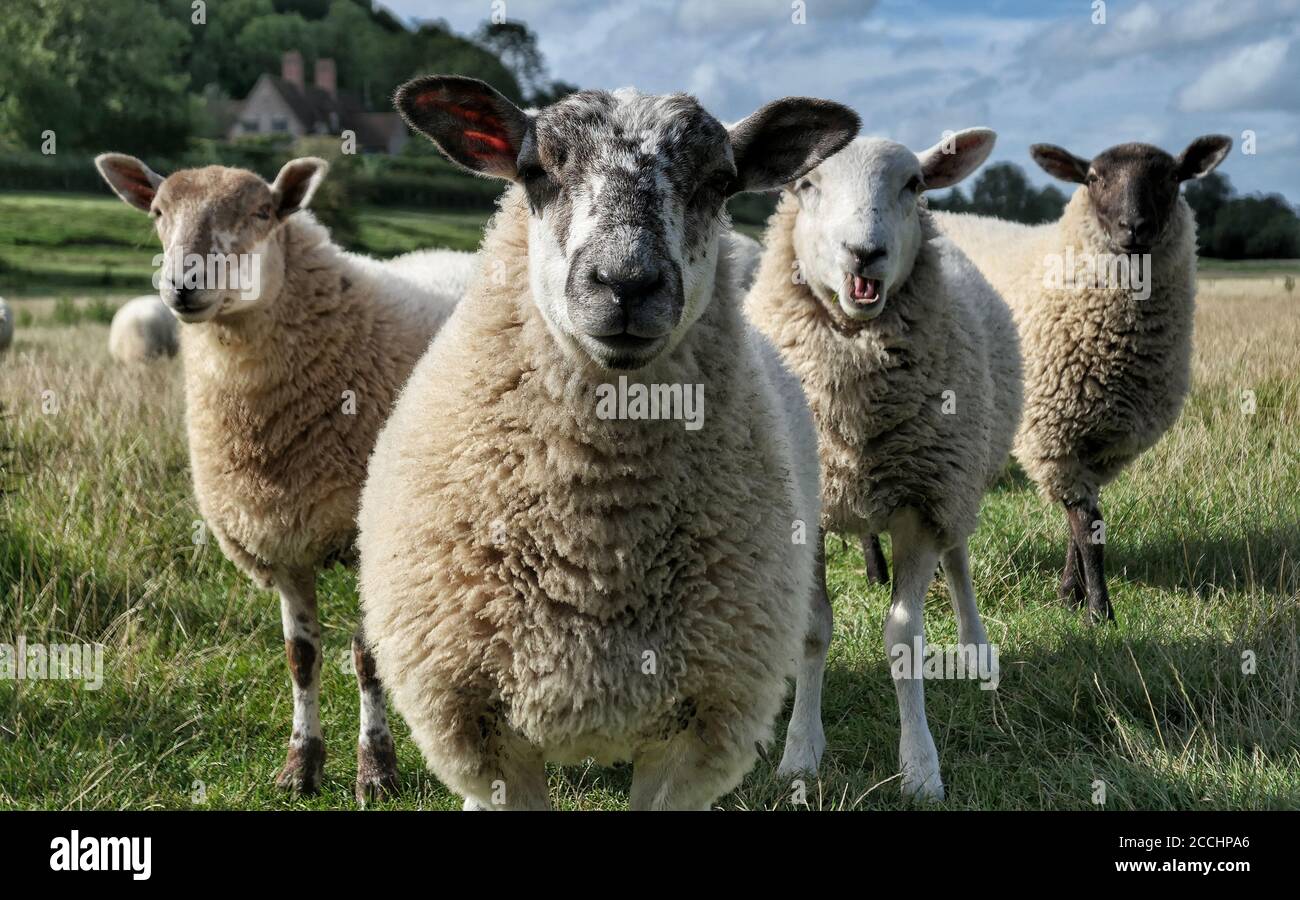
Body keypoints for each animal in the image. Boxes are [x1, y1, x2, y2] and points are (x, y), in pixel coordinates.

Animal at [94, 152, 472, 803]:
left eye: (263, 211)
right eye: (159, 212)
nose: (184, 284)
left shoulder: (364, 533)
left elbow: (365, 657)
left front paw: (377, 770)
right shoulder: (282, 537)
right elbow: (302, 658)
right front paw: (301, 765)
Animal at [357, 75, 859, 810]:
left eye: (719, 181)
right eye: (536, 171)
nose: (625, 283)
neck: (594, 550)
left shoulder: (698, 731)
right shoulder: (475, 726)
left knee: (814, 634)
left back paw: (803, 751)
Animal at [745, 130, 1021, 800]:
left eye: (913, 184)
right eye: (805, 183)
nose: (864, 252)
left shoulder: (922, 504)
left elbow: (904, 637)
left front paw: (920, 768)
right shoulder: (809, 507)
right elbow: (813, 628)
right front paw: (800, 752)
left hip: (959, 479)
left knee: (959, 559)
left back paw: (975, 649)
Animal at [933, 135, 1232, 622]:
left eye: (1171, 176)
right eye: (1093, 178)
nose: (1134, 227)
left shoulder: (1101, 445)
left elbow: (1082, 525)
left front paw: (1069, 595)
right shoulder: (1054, 436)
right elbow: (1087, 525)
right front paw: (1099, 610)